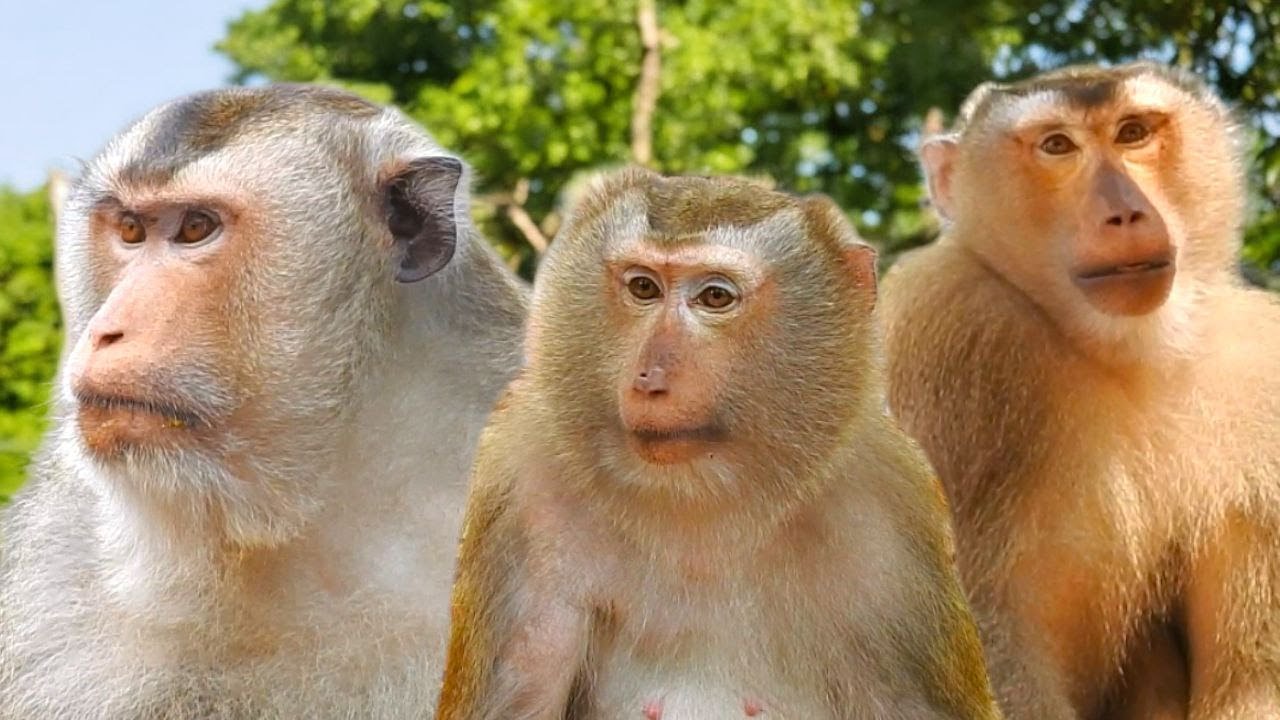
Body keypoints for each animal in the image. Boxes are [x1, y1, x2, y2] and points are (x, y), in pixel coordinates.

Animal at [435, 167, 1003, 720]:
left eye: (715, 297)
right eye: (643, 287)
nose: (650, 377)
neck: (700, 505)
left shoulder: (893, 514)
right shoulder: (522, 486)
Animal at [881, 61, 1280, 720]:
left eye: (1133, 131)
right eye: (1057, 145)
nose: (1125, 213)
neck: (1123, 354)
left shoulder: (1258, 376)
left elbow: (1249, 679)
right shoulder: (944, 327)